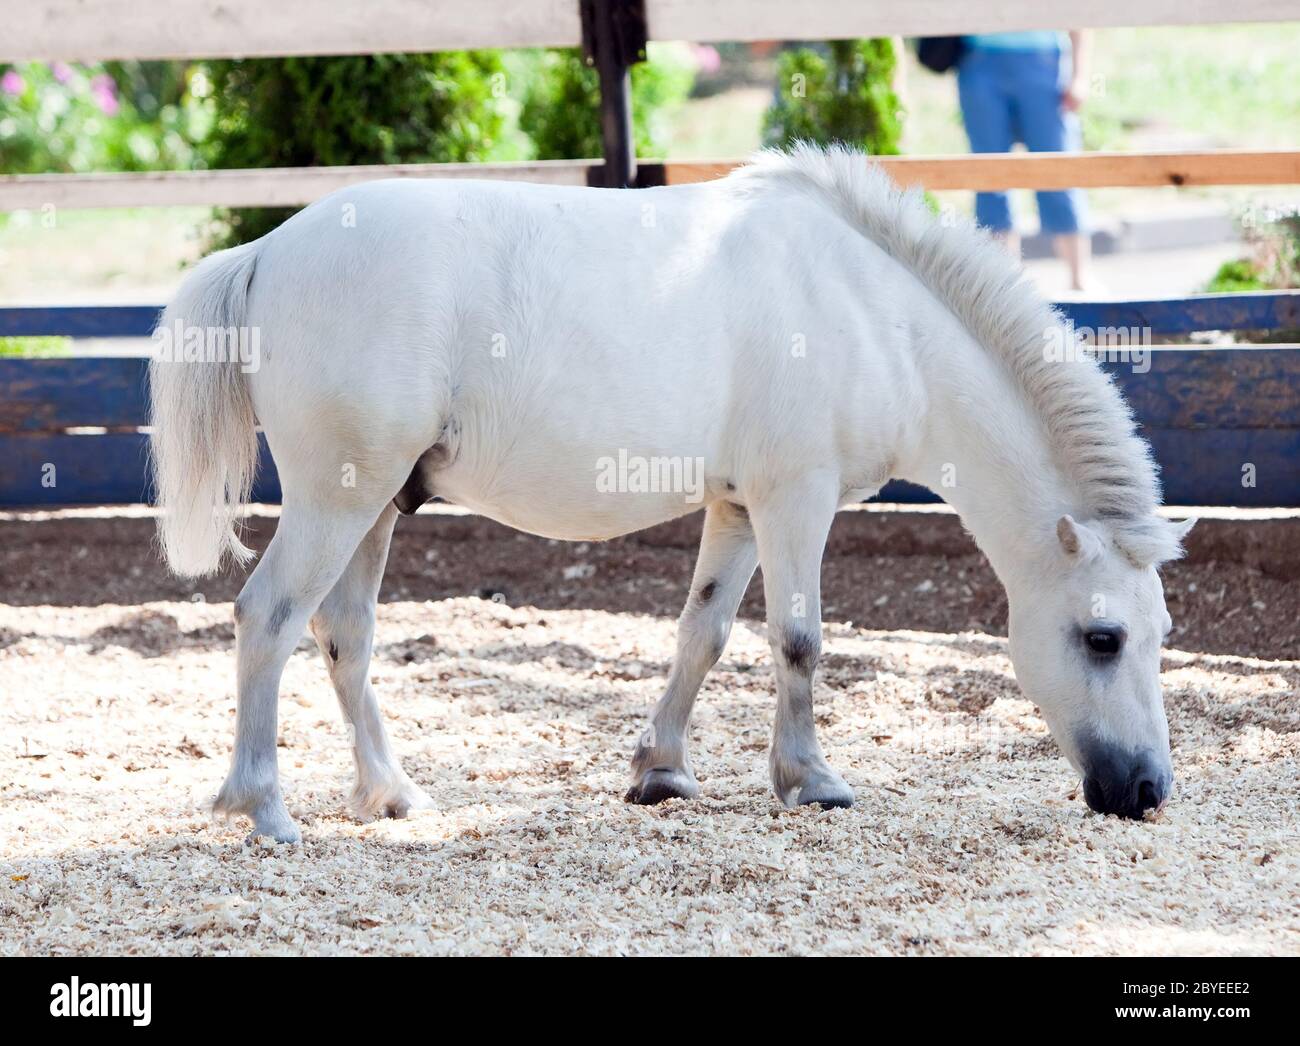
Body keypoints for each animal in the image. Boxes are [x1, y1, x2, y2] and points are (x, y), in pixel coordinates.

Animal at [149, 144, 1195, 843]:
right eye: (1102, 638)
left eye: (1157, 635)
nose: (1147, 790)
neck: (871, 309)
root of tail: (268, 251)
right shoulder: (794, 500)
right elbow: (798, 640)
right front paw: (810, 779)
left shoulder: (735, 508)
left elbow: (705, 632)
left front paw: (661, 769)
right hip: (337, 502)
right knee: (268, 617)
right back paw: (263, 807)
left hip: (373, 509)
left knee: (345, 637)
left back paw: (390, 794)